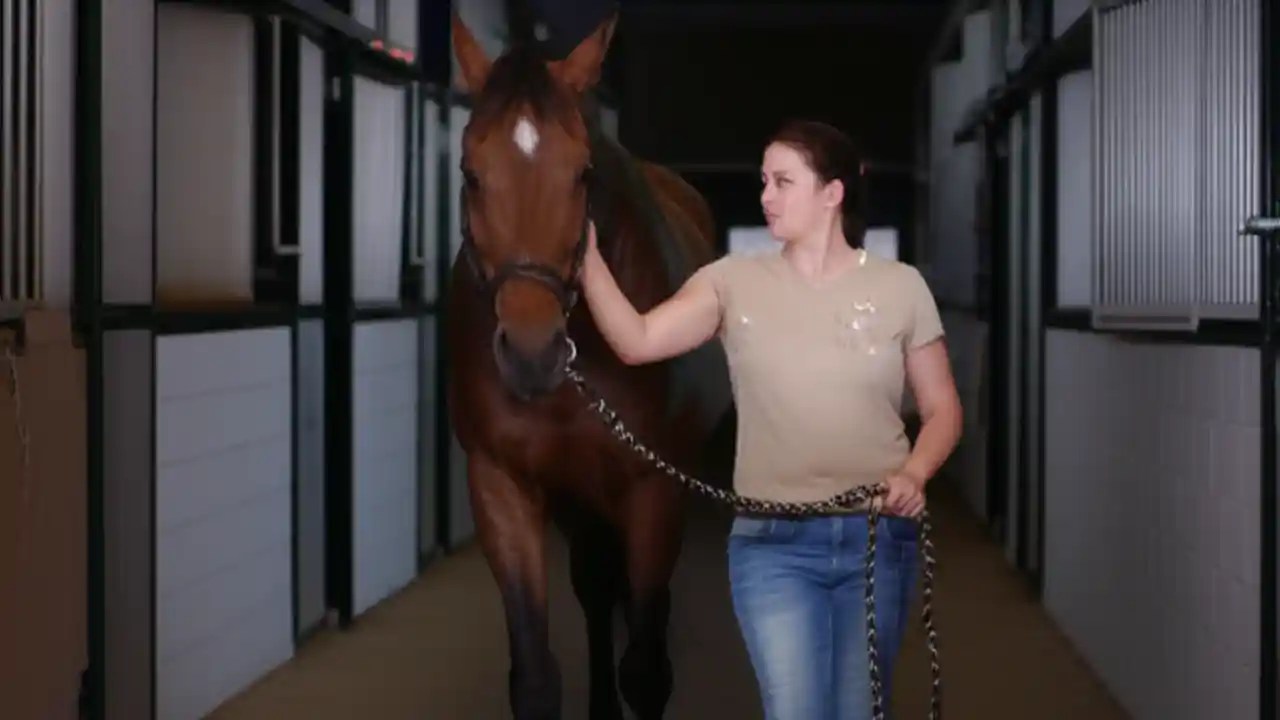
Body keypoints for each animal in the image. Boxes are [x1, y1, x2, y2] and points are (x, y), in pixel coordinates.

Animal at [445, 11, 731, 720]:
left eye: (581, 173)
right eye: (469, 171)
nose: (532, 354)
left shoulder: (655, 491)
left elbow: (648, 671)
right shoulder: (502, 485)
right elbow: (534, 677)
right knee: (597, 591)